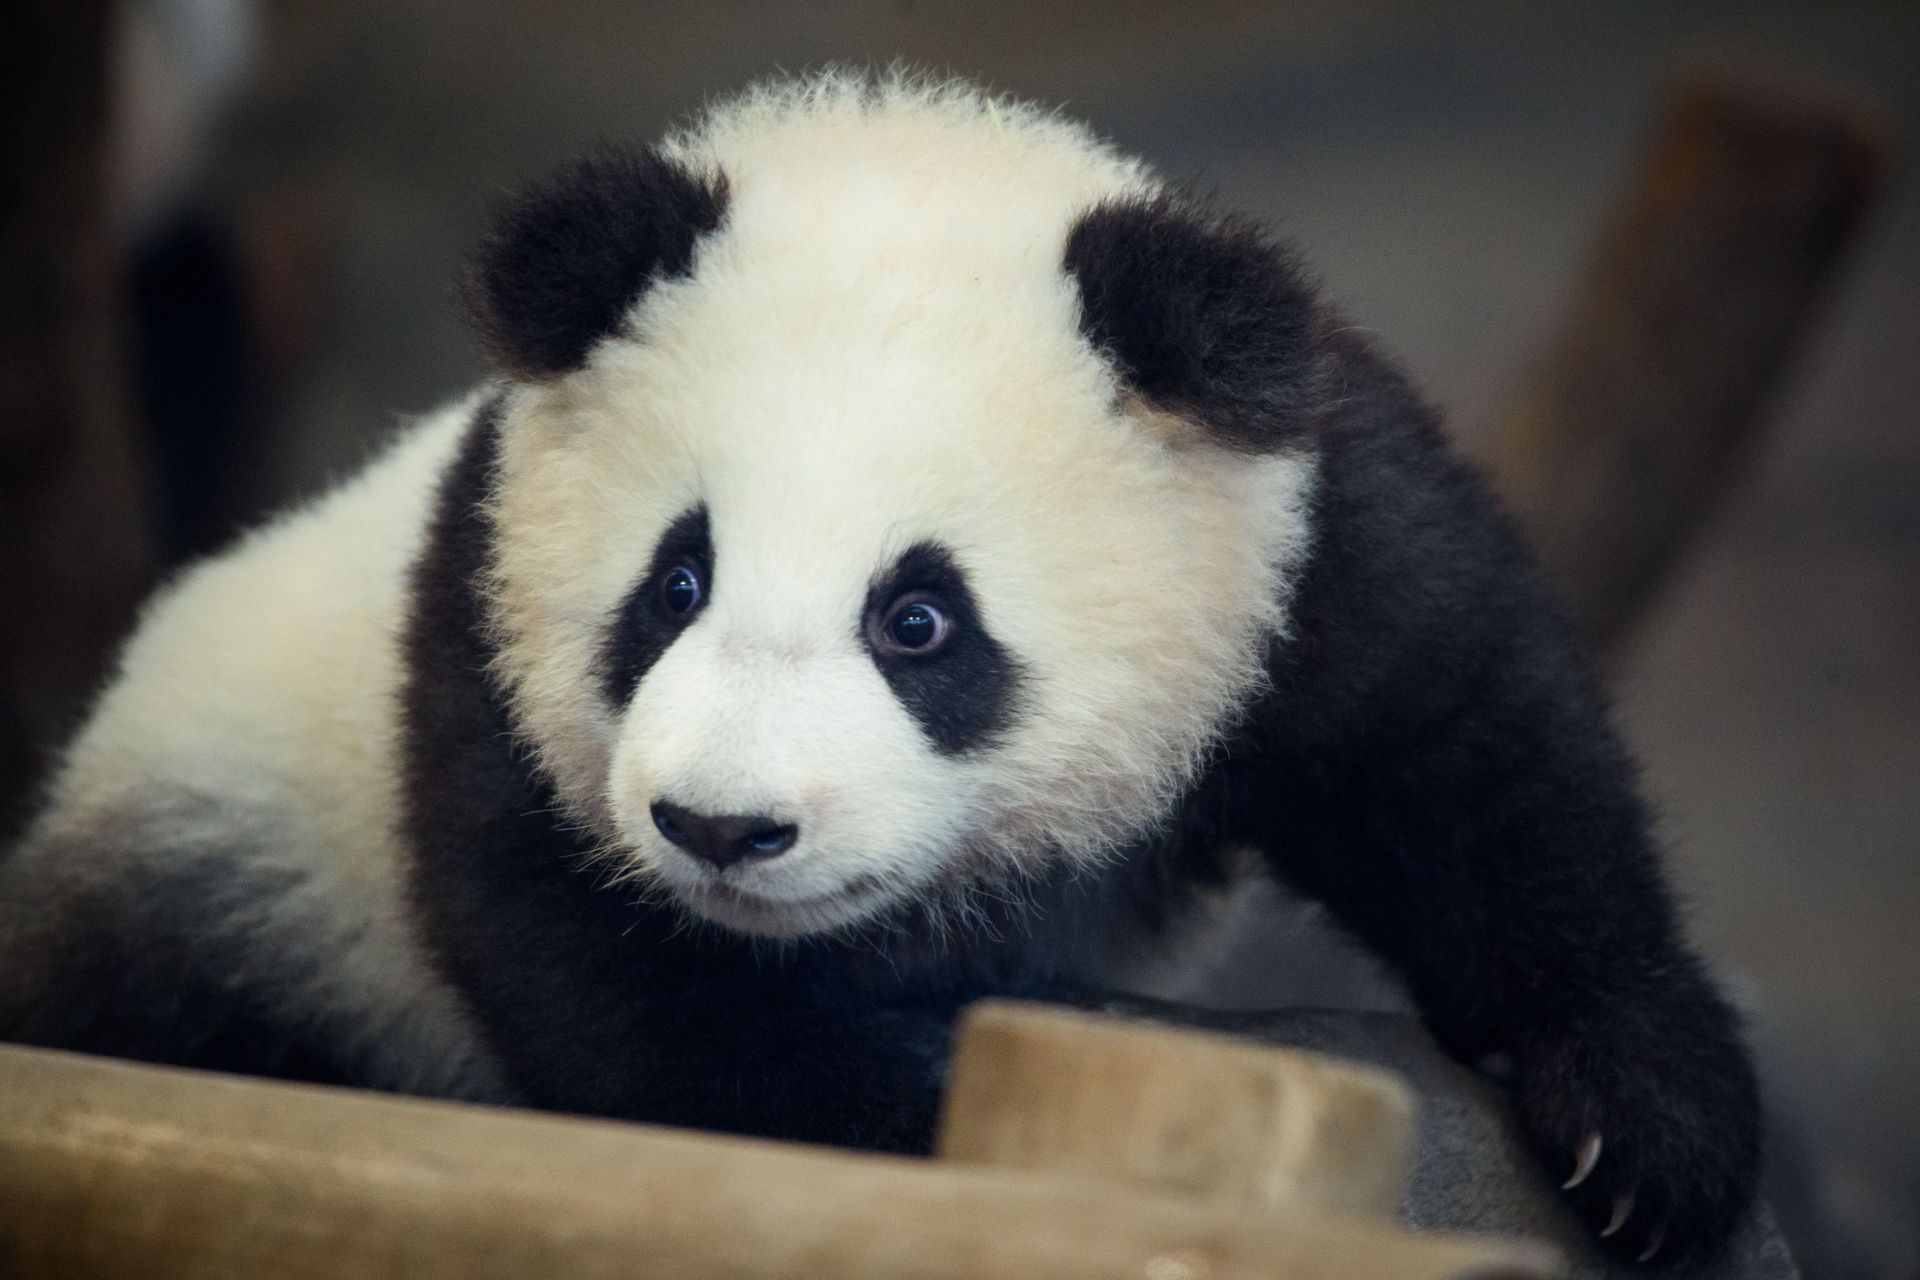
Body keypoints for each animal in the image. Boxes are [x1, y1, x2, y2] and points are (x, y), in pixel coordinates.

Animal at [0, 73, 1757, 1267]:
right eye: (675, 585)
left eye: (920, 622)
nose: (723, 830)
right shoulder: (482, 633)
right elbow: (627, 983)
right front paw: (925, 1124)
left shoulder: (1306, 541)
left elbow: (1471, 753)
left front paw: (1644, 1135)